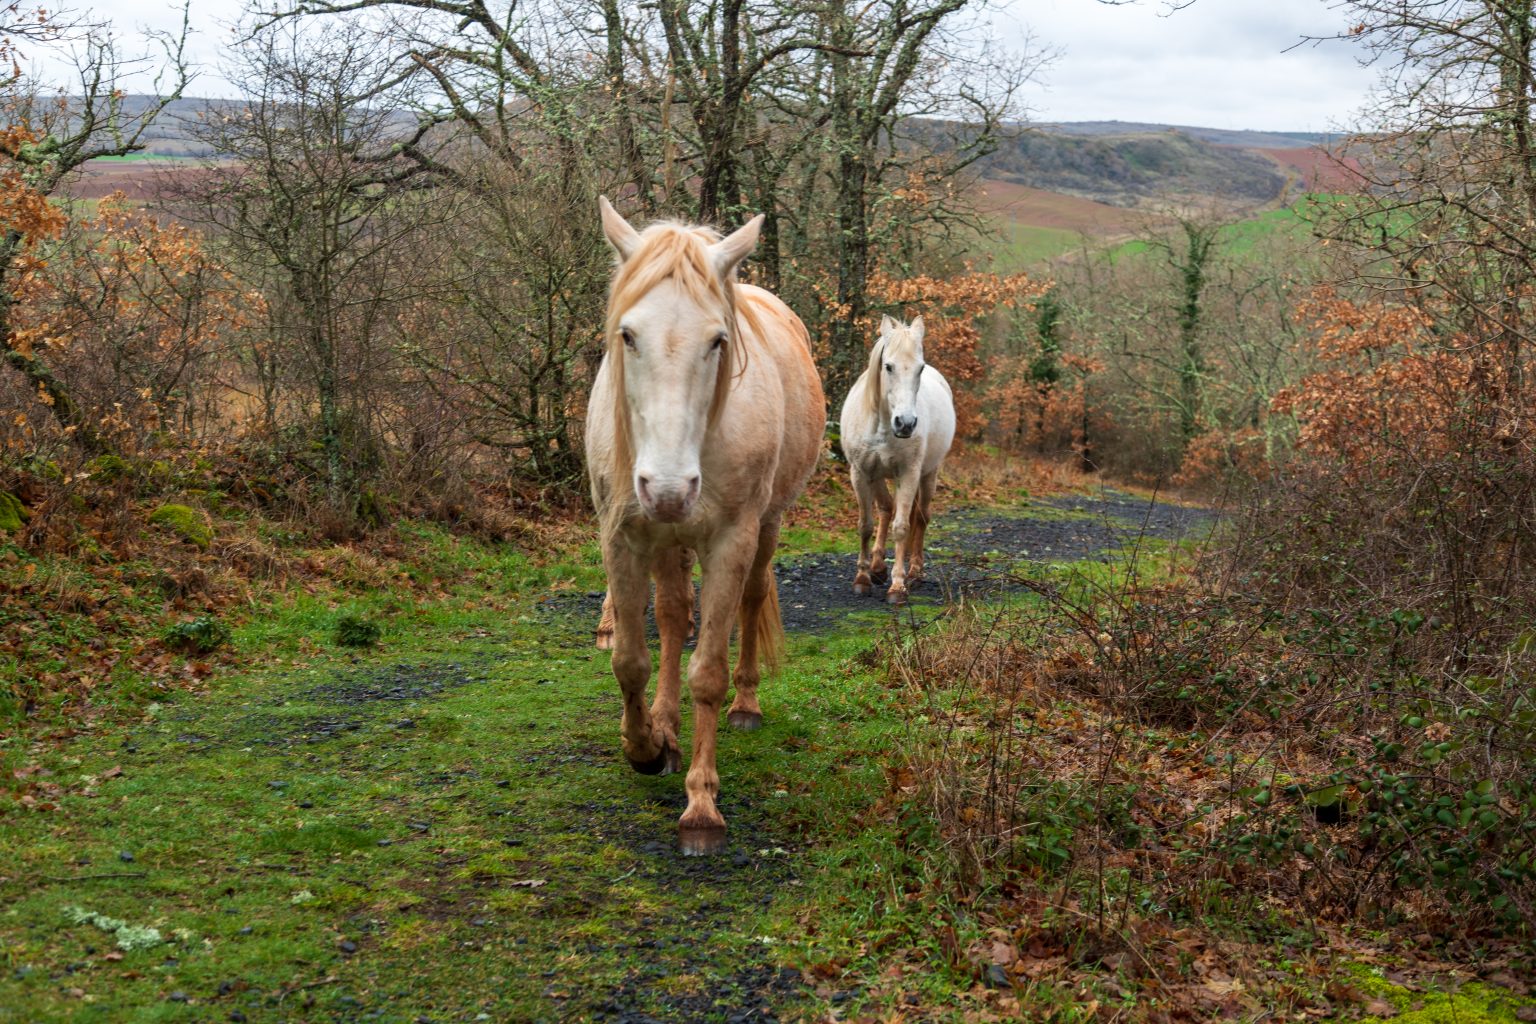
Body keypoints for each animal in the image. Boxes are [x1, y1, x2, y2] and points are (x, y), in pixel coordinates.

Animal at [585, 197, 825, 855]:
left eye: (718, 340)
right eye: (627, 335)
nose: (668, 489)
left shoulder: (729, 541)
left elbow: (708, 672)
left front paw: (700, 805)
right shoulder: (622, 536)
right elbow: (632, 660)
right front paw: (645, 746)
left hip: (763, 527)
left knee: (750, 599)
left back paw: (746, 704)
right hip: (667, 539)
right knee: (672, 618)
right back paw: (665, 725)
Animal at [838, 314, 956, 605]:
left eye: (920, 368)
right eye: (888, 366)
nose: (906, 423)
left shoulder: (908, 473)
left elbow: (902, 527)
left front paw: (898, 586)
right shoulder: (861, 473)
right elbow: (865, 525)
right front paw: (863, 578)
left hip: (928, 474)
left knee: (920, 517)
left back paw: (914, 571)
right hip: (879, 476)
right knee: (886, 508)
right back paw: (878, 567)